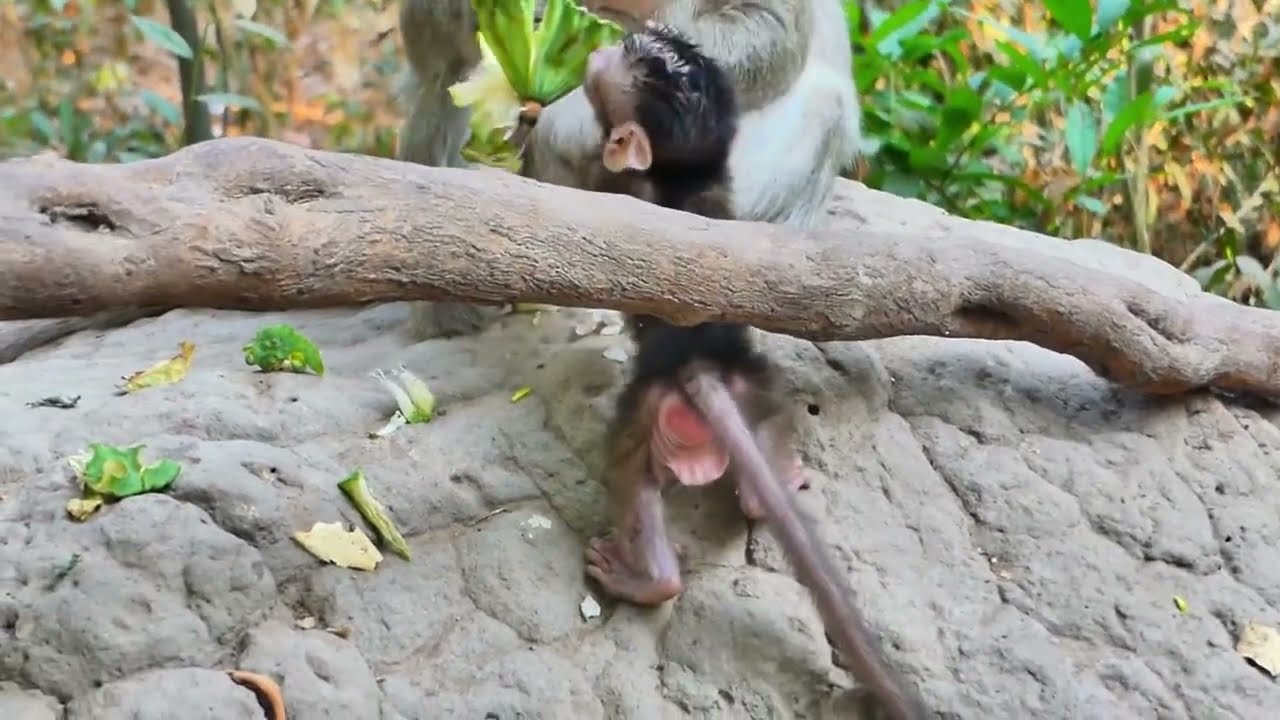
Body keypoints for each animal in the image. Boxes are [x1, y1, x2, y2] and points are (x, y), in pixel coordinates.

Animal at [577, 27, 927, 720]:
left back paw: (647, 578)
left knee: (628, 470)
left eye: (638, 56)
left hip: (650, 407)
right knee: (763, 450)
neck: (682, 178)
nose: (611, 43)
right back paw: (778, 484)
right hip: (759, 391)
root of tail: (707, 366)